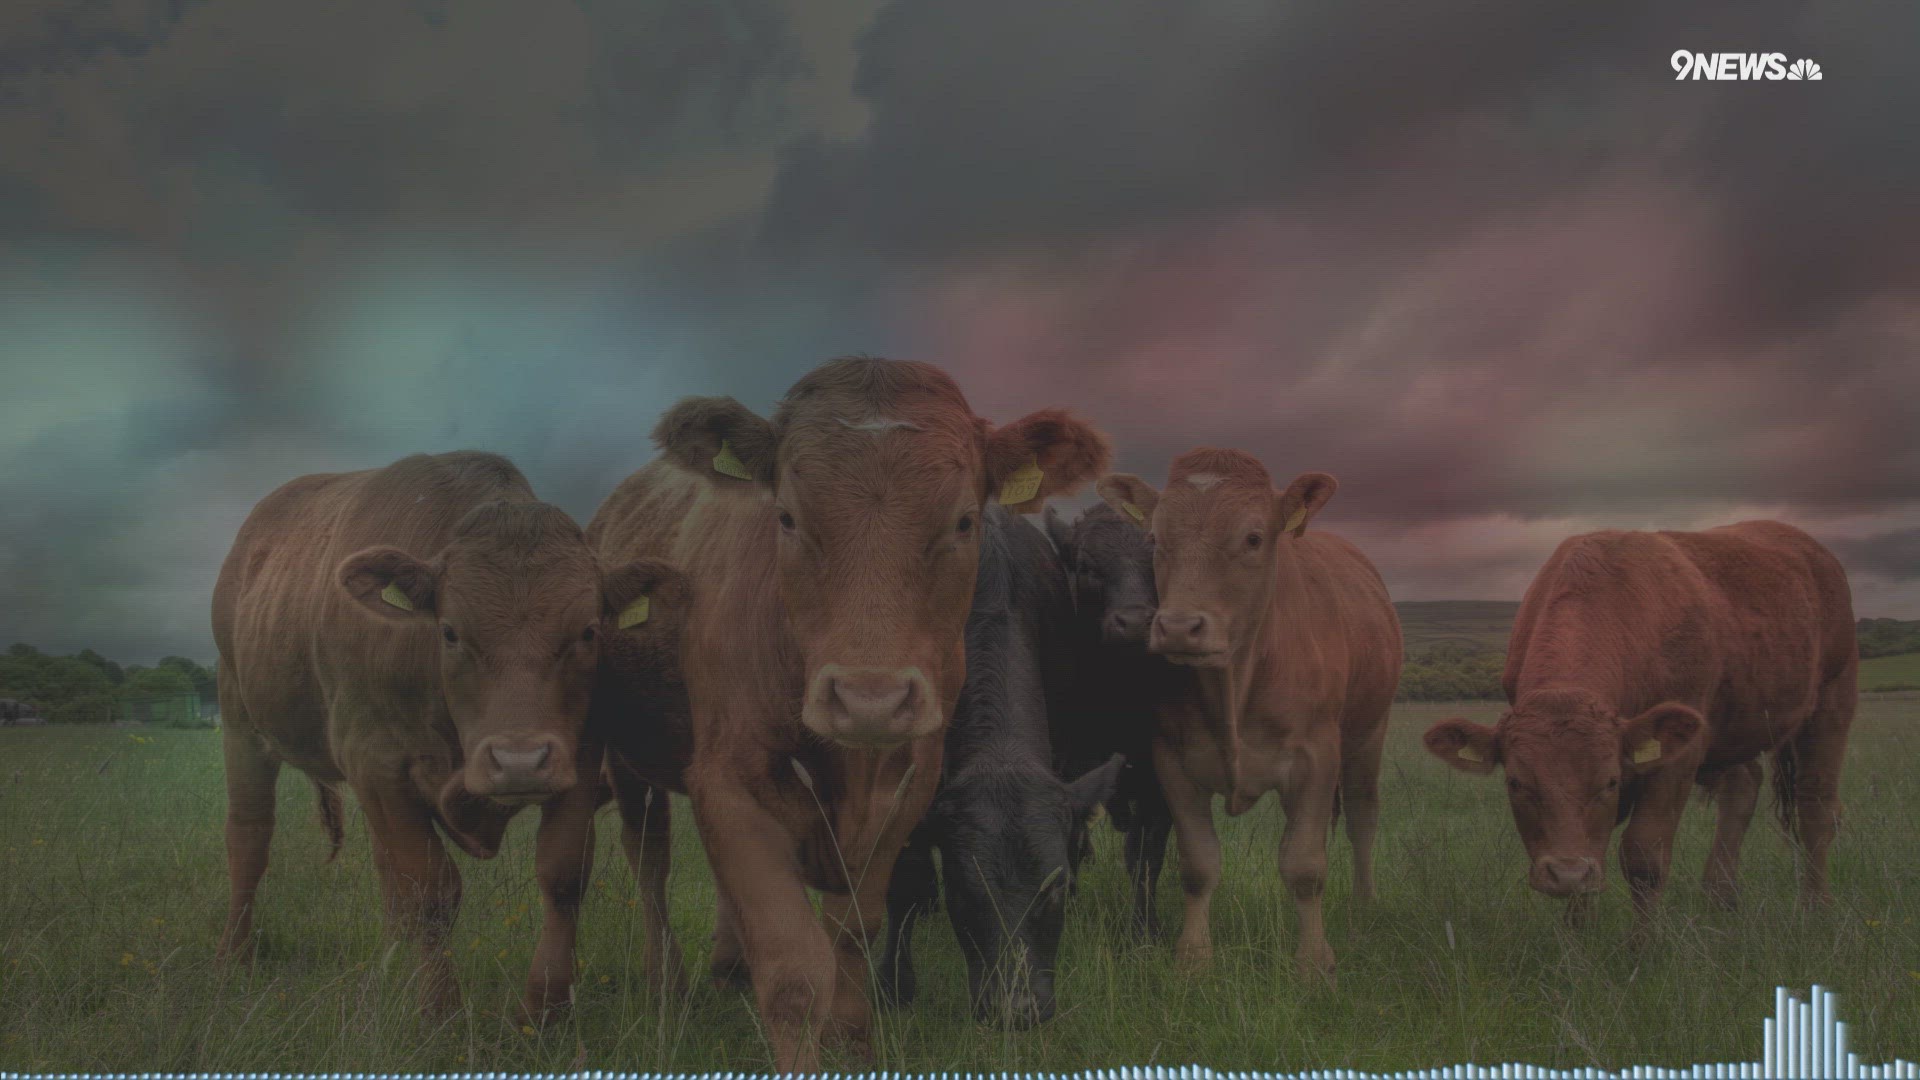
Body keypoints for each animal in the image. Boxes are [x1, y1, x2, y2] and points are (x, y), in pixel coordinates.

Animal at [211, 451, 688, 1023]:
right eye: (450, 631)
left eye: (589, 631)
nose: (519, 761)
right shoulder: (375, 760)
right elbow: (430, 891)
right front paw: (440, 1011)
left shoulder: (578, 756)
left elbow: (563, 874)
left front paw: (544, 1009)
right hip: (240, 720)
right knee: (249, 838)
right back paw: (235, 954)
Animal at [1043, 502, 1179, 937]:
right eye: (1087, 565)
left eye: (1158, 563)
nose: (1134, 623)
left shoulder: (1158, 781)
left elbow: (1146, 855)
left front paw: (1145, 928)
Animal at [1097, 450, 1401, 981]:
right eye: (1155, 538)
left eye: (1254, 537)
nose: (1179, 626)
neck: (1236, 684)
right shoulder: (1172, 761)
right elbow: (1198, 864)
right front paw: (1193, 957)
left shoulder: (1317, 756)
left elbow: (1305, 865)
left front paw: (1313, 962)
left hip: (1368, 735)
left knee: (1363, 817)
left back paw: (1364, 906)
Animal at [1422, 520, 1856, 928]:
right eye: (1516, 782)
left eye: (1610, 781)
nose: (1565, 873)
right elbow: (1593, 851)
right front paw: (1578, 937)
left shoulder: (1677, 757)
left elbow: (1643, 856)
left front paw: (1641, 948)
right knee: (1744, 785)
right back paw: (1721, 898)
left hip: (1832, 698)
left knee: (1816, 806)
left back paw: (1816, 909)